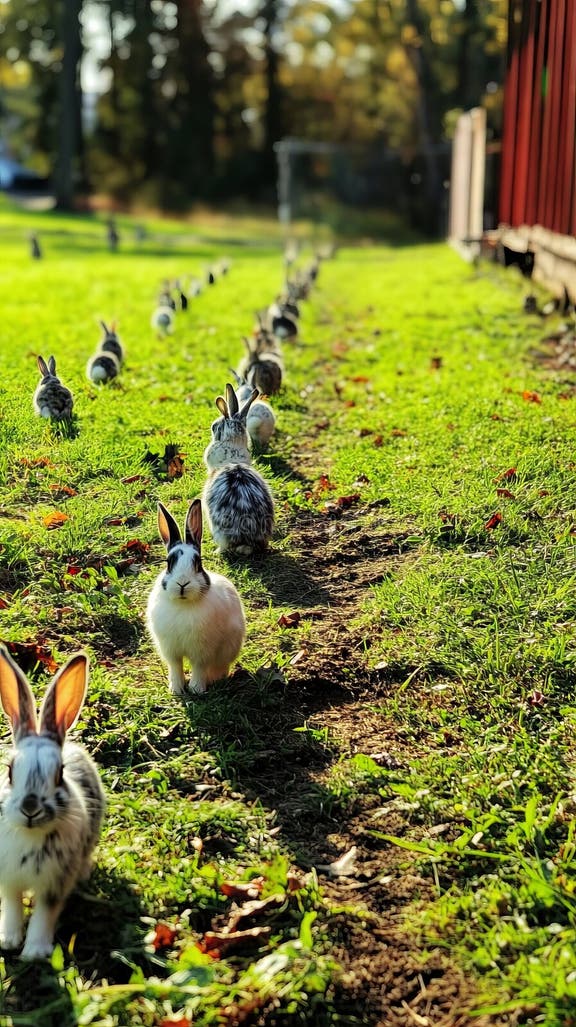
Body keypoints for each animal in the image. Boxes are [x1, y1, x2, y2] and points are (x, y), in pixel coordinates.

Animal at [0, 647, 105, 960]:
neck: (30, 835)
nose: (30, 809)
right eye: (10, 771)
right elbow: (12, 905)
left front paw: (34, 951)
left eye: (59, 774)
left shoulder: (55, 883)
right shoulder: (8, 879)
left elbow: (44, 914)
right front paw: (8, 940)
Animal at [146, 500, 246, 695]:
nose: (182, 584)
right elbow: (175, 666)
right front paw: (176, 689)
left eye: (198, 563)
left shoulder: (202, 651)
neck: (182, 605)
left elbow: (199, 667)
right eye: (168, 563)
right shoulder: (170, 650)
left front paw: (196, 689)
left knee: (218, 667)